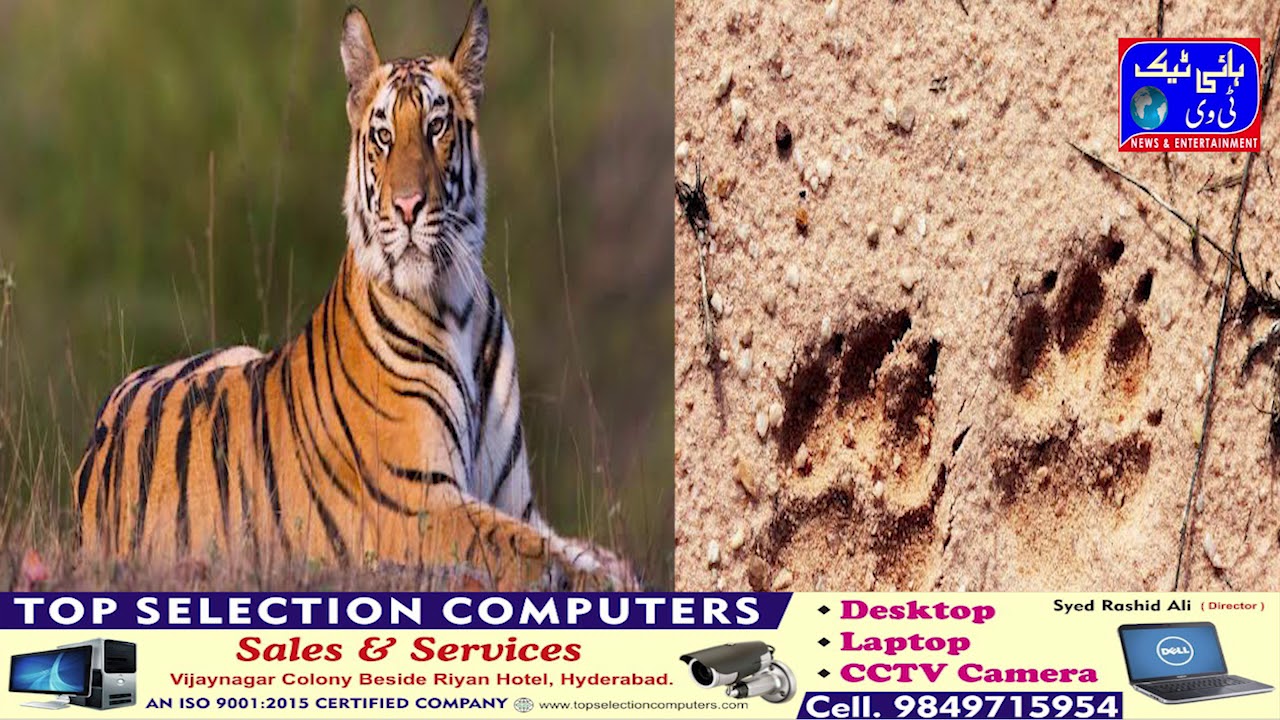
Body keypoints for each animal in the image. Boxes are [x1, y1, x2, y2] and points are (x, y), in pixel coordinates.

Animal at [72, 1, 636, 591]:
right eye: (384, 136)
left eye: (436, 127)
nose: (407, 206)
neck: (455, 302)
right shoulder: (418, 501)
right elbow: (529, 551)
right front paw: (605, 581)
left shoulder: (513, 498)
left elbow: (563, 543)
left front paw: (611, 563)